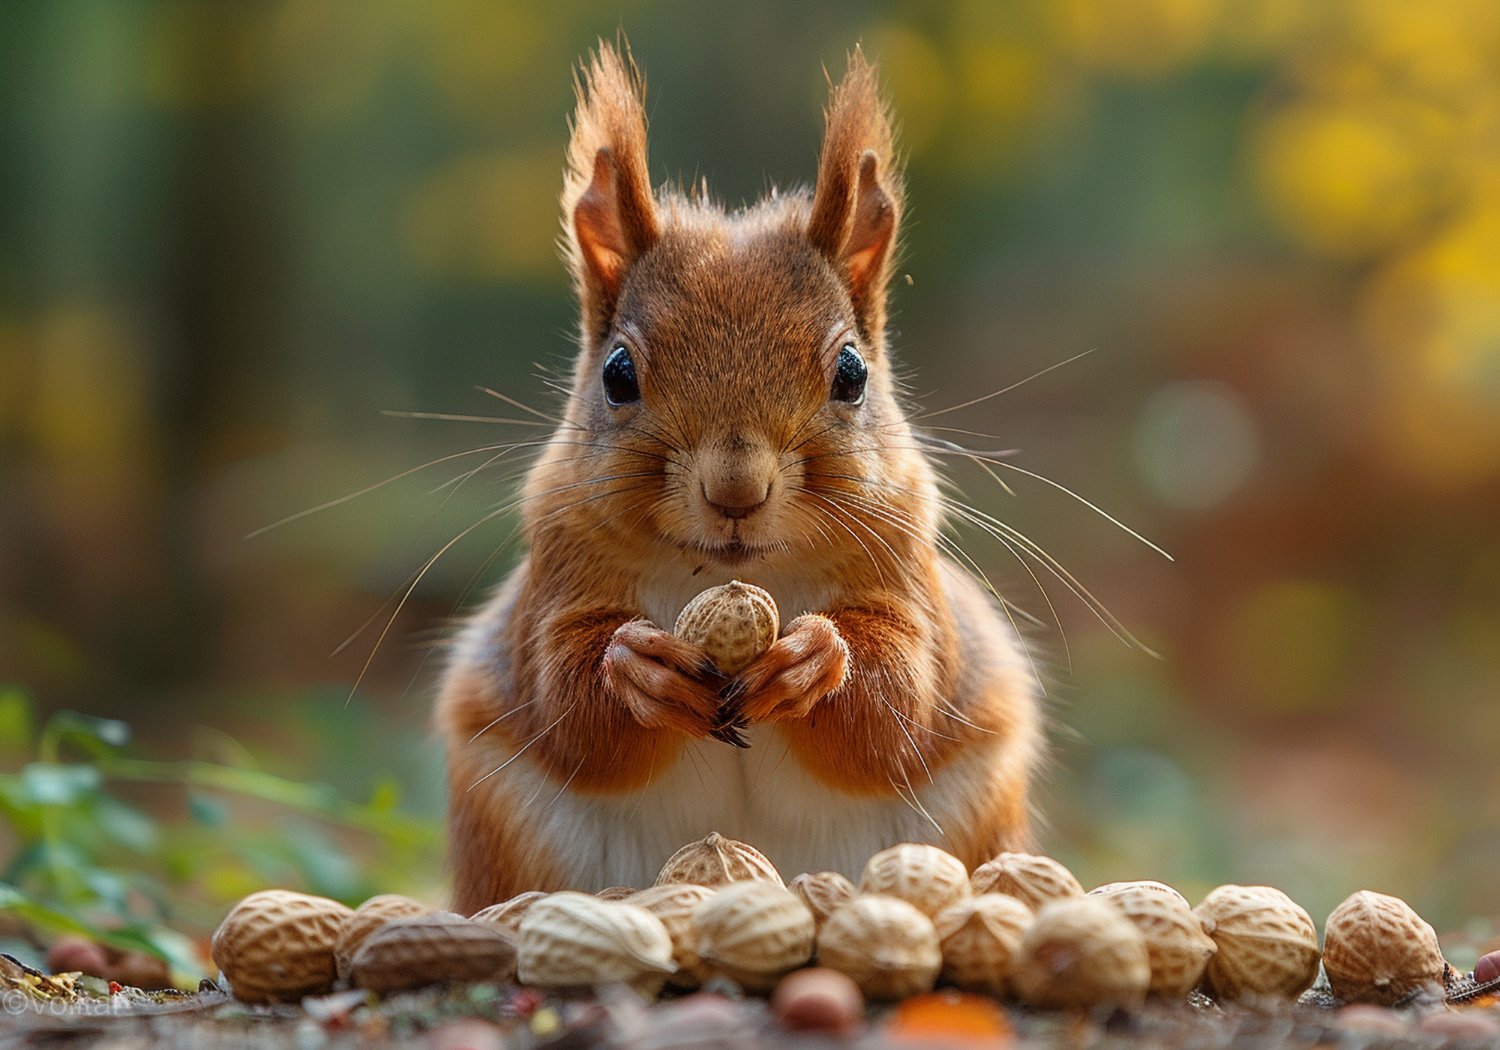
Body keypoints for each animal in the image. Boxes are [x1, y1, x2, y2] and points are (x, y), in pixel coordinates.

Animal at [437, 45, 1042, 914]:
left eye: (852, 373)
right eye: (617, 374)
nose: (735, 491)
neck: (732, 572)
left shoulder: (907, 582)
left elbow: (901, 702)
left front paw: (820, 658)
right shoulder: (554, 586)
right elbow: (565, 702)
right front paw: (636, 668)